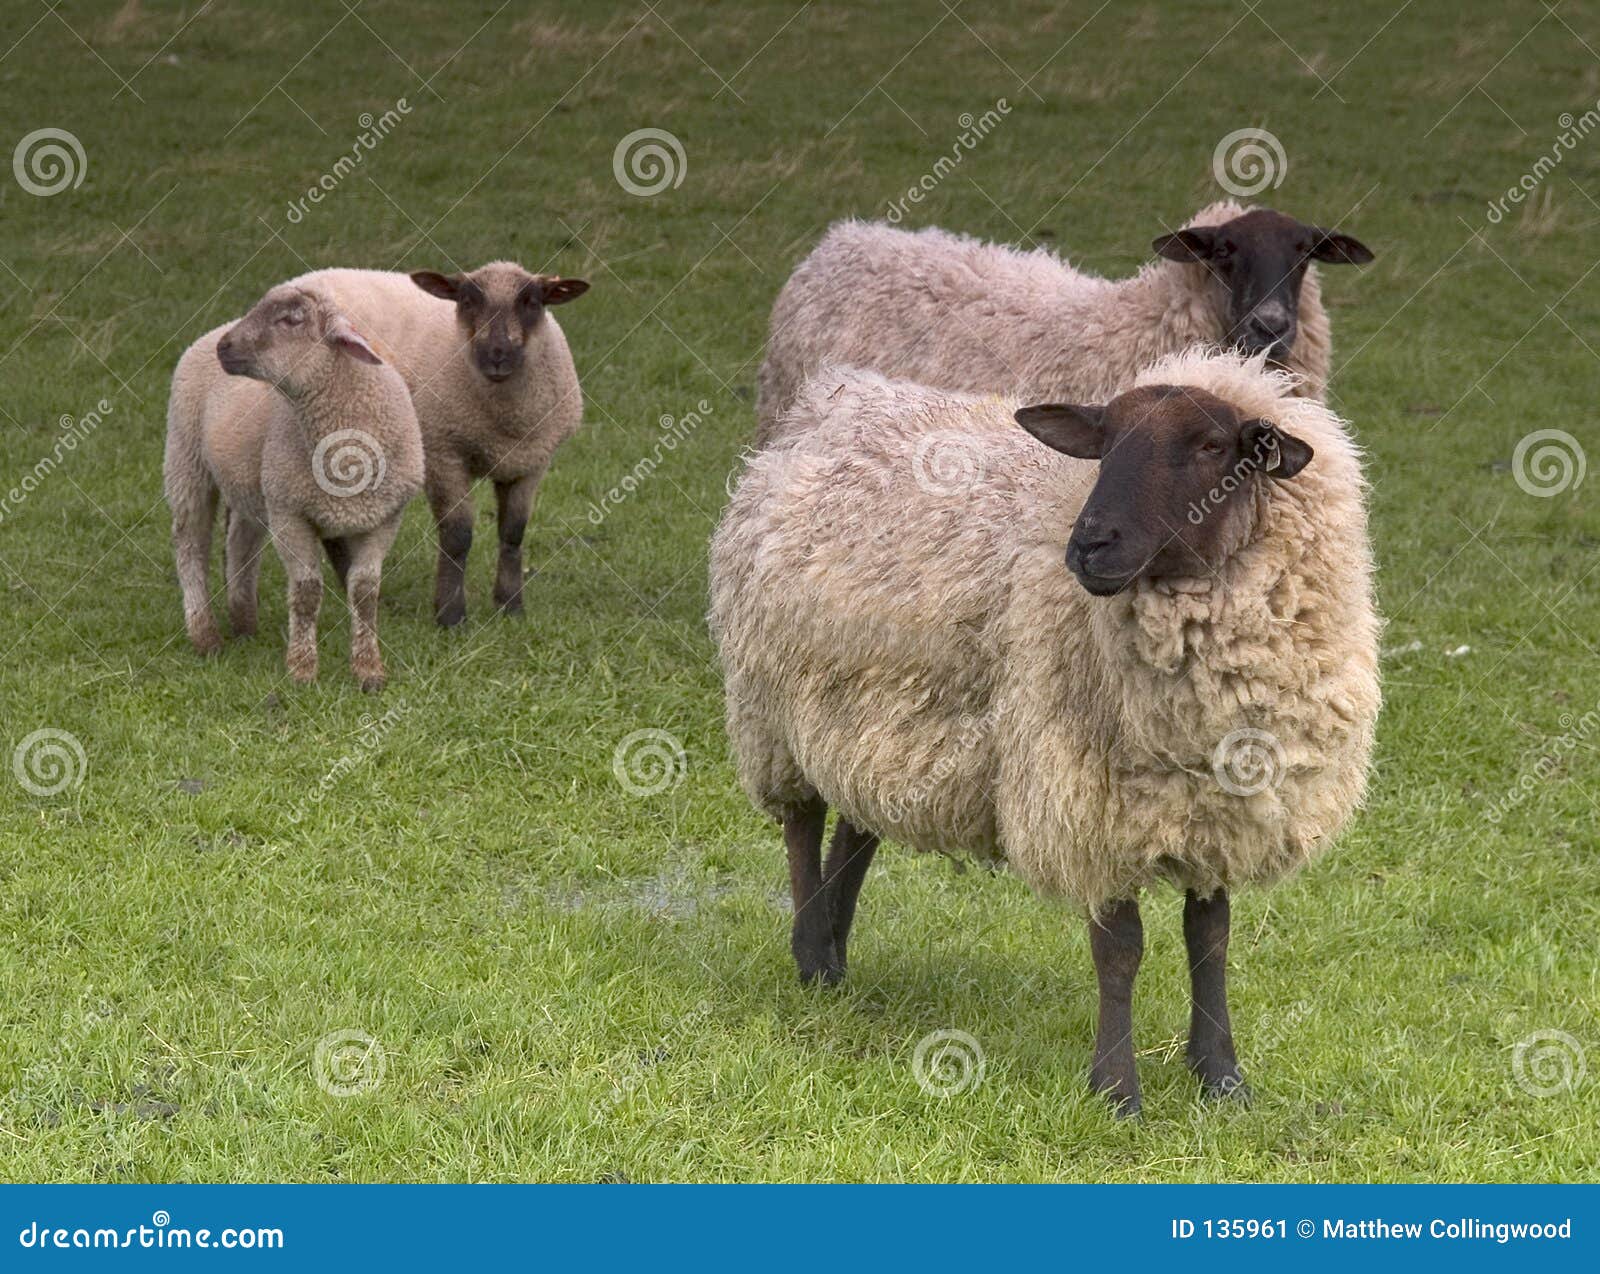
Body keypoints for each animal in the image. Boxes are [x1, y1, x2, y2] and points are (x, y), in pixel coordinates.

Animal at [164, 281, 425, 691]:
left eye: (291, 320)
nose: (225, 347)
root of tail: (207, 333)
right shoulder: (291, 514)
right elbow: (306, 592)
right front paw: (302, 670)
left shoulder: (383, 519)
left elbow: (365, 592)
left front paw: (369, 671)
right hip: (186, 459)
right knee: (191, 545)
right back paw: (205, 635)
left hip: (253, 482)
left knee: (240, 542)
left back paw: (244, 621)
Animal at [281, 262, 589, 626]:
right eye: (467, 300)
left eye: (532, 302)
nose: (497, 355)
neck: (504, 418)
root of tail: (303, 279)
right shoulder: (444, 454)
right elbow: (457, 536)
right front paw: (451, 615)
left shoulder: (531, 462)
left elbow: (513, 532)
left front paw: (510, 605)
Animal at [710, 349, 1381, 1114]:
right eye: (1105, 442)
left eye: (1213, 447)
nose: (1089, 544)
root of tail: (832, 400)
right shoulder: (1088, 799)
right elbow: (1119, 949)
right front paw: (1117, 1090)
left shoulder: (1218, 806)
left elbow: (1211, 938)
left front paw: (1220, 1075)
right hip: (775, 707)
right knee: (802, 821)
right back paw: (809, 952)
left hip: (877, 720)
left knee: (857, 823)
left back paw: (834, 951)